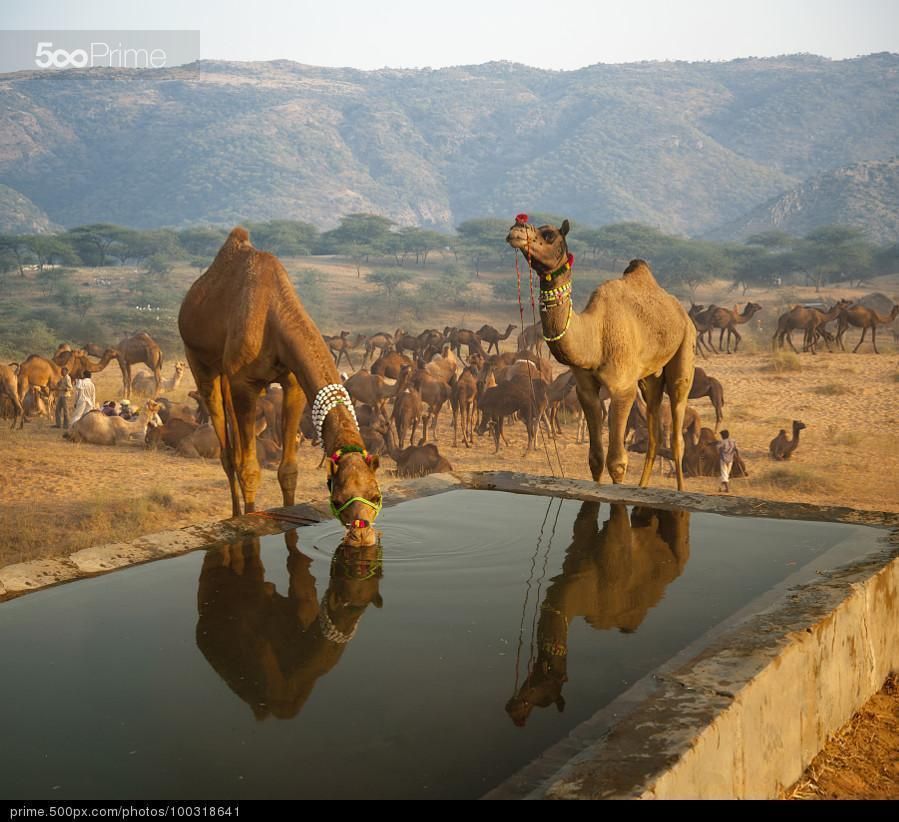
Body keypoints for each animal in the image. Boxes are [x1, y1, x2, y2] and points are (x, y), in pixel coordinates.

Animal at [179, 227, 381, 543]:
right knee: (228, 453)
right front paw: (248, 525)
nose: (362, 536)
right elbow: (250, 469)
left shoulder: (292, 383)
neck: (274, 315)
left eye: (375, 495)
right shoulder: (244, 383)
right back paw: (234, 517)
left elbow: (288, 471)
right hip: (200, 361)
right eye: (337, 499)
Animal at [507, 218, 695, 490]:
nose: (516, 229)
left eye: (549, 235)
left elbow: (616, 461)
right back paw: (642, 488)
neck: (595, 337)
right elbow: (595, 458)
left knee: (677, 432)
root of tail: (680, 311)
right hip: (649, 376)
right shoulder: (585, 389)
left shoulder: (622, 389)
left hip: (685, 350)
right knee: (655, 435)